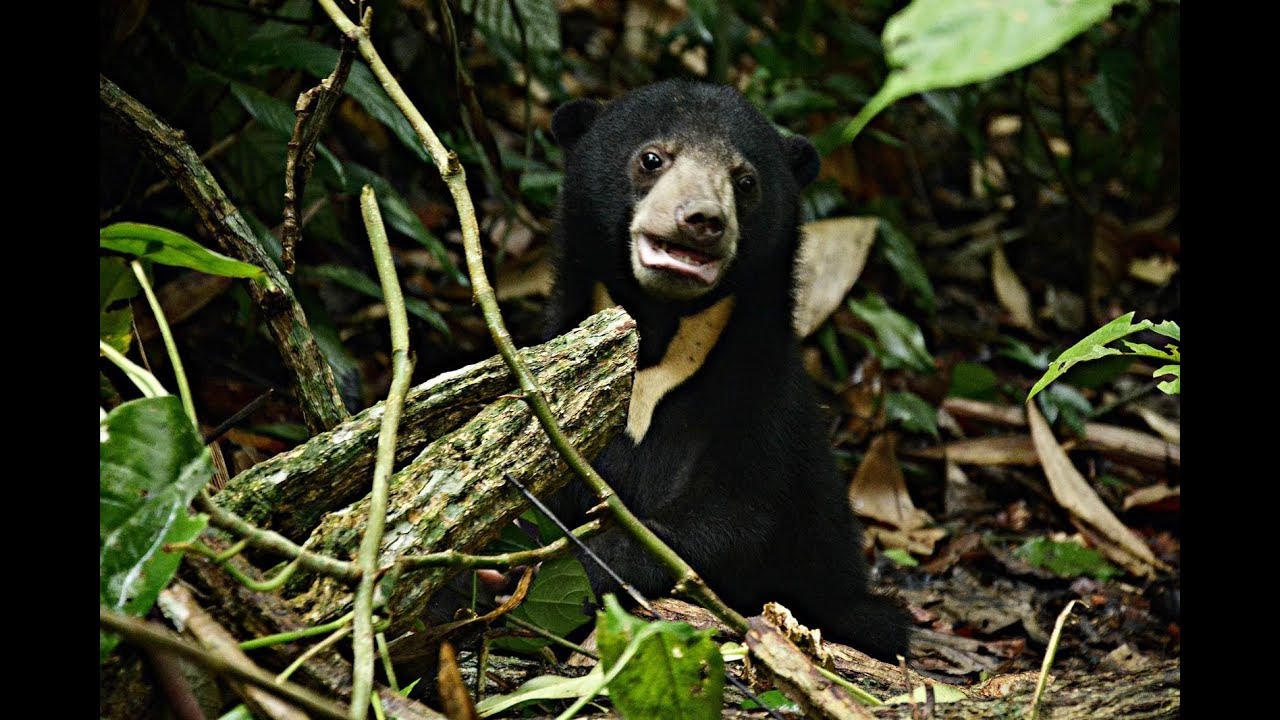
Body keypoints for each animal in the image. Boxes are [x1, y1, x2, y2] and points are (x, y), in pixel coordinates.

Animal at [541, 79, 910, 661]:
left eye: (745, 181)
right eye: (652, 158)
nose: (701, 221)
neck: (661, 335)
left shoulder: (763, 393)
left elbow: (735, 513)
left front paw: (582, 567)